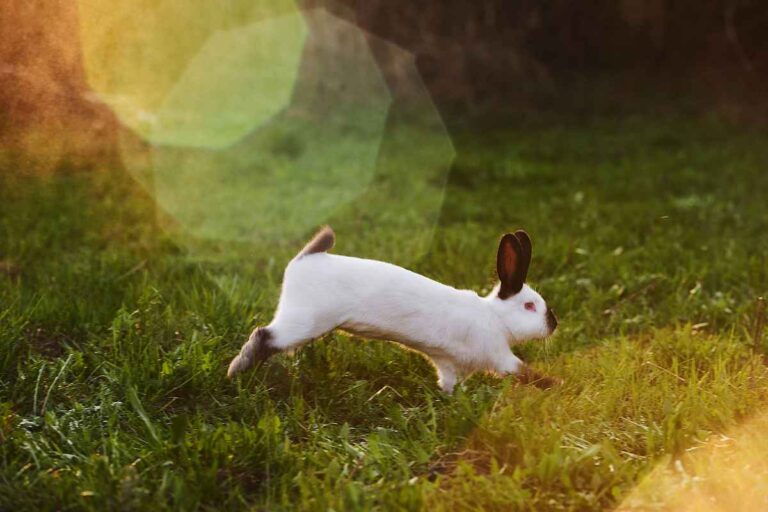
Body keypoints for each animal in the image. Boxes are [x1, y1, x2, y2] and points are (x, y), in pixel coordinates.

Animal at [227, 226, 559, 393]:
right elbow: (526, 372)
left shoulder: (448, 364)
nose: (554, 324)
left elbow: (448, 383)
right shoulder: (500, 357)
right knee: (263, 336)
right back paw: (235, 372)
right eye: (530, 305)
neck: (494, 317)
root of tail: (303, 260)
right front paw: (558, 385)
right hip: (302, 323)